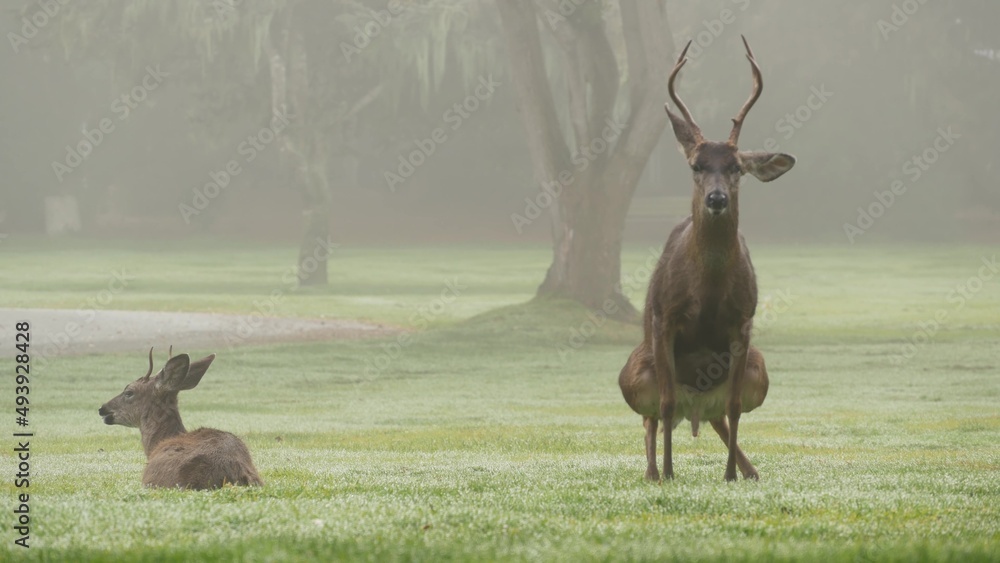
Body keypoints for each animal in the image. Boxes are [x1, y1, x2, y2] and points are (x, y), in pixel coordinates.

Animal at [618, 37, 795, 482]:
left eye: (737, 168)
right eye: (697, 165)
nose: (717, 199)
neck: (708, 291)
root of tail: (694, 407)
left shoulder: (743, 322)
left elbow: (733, 407)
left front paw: (729, 475)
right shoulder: (664, 317)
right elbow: (664, 405)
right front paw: (668, 473)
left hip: (758, 369)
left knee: (718, 416)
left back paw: (750, 471)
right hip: (633, 372)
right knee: (651, 417)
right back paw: (651, 471)